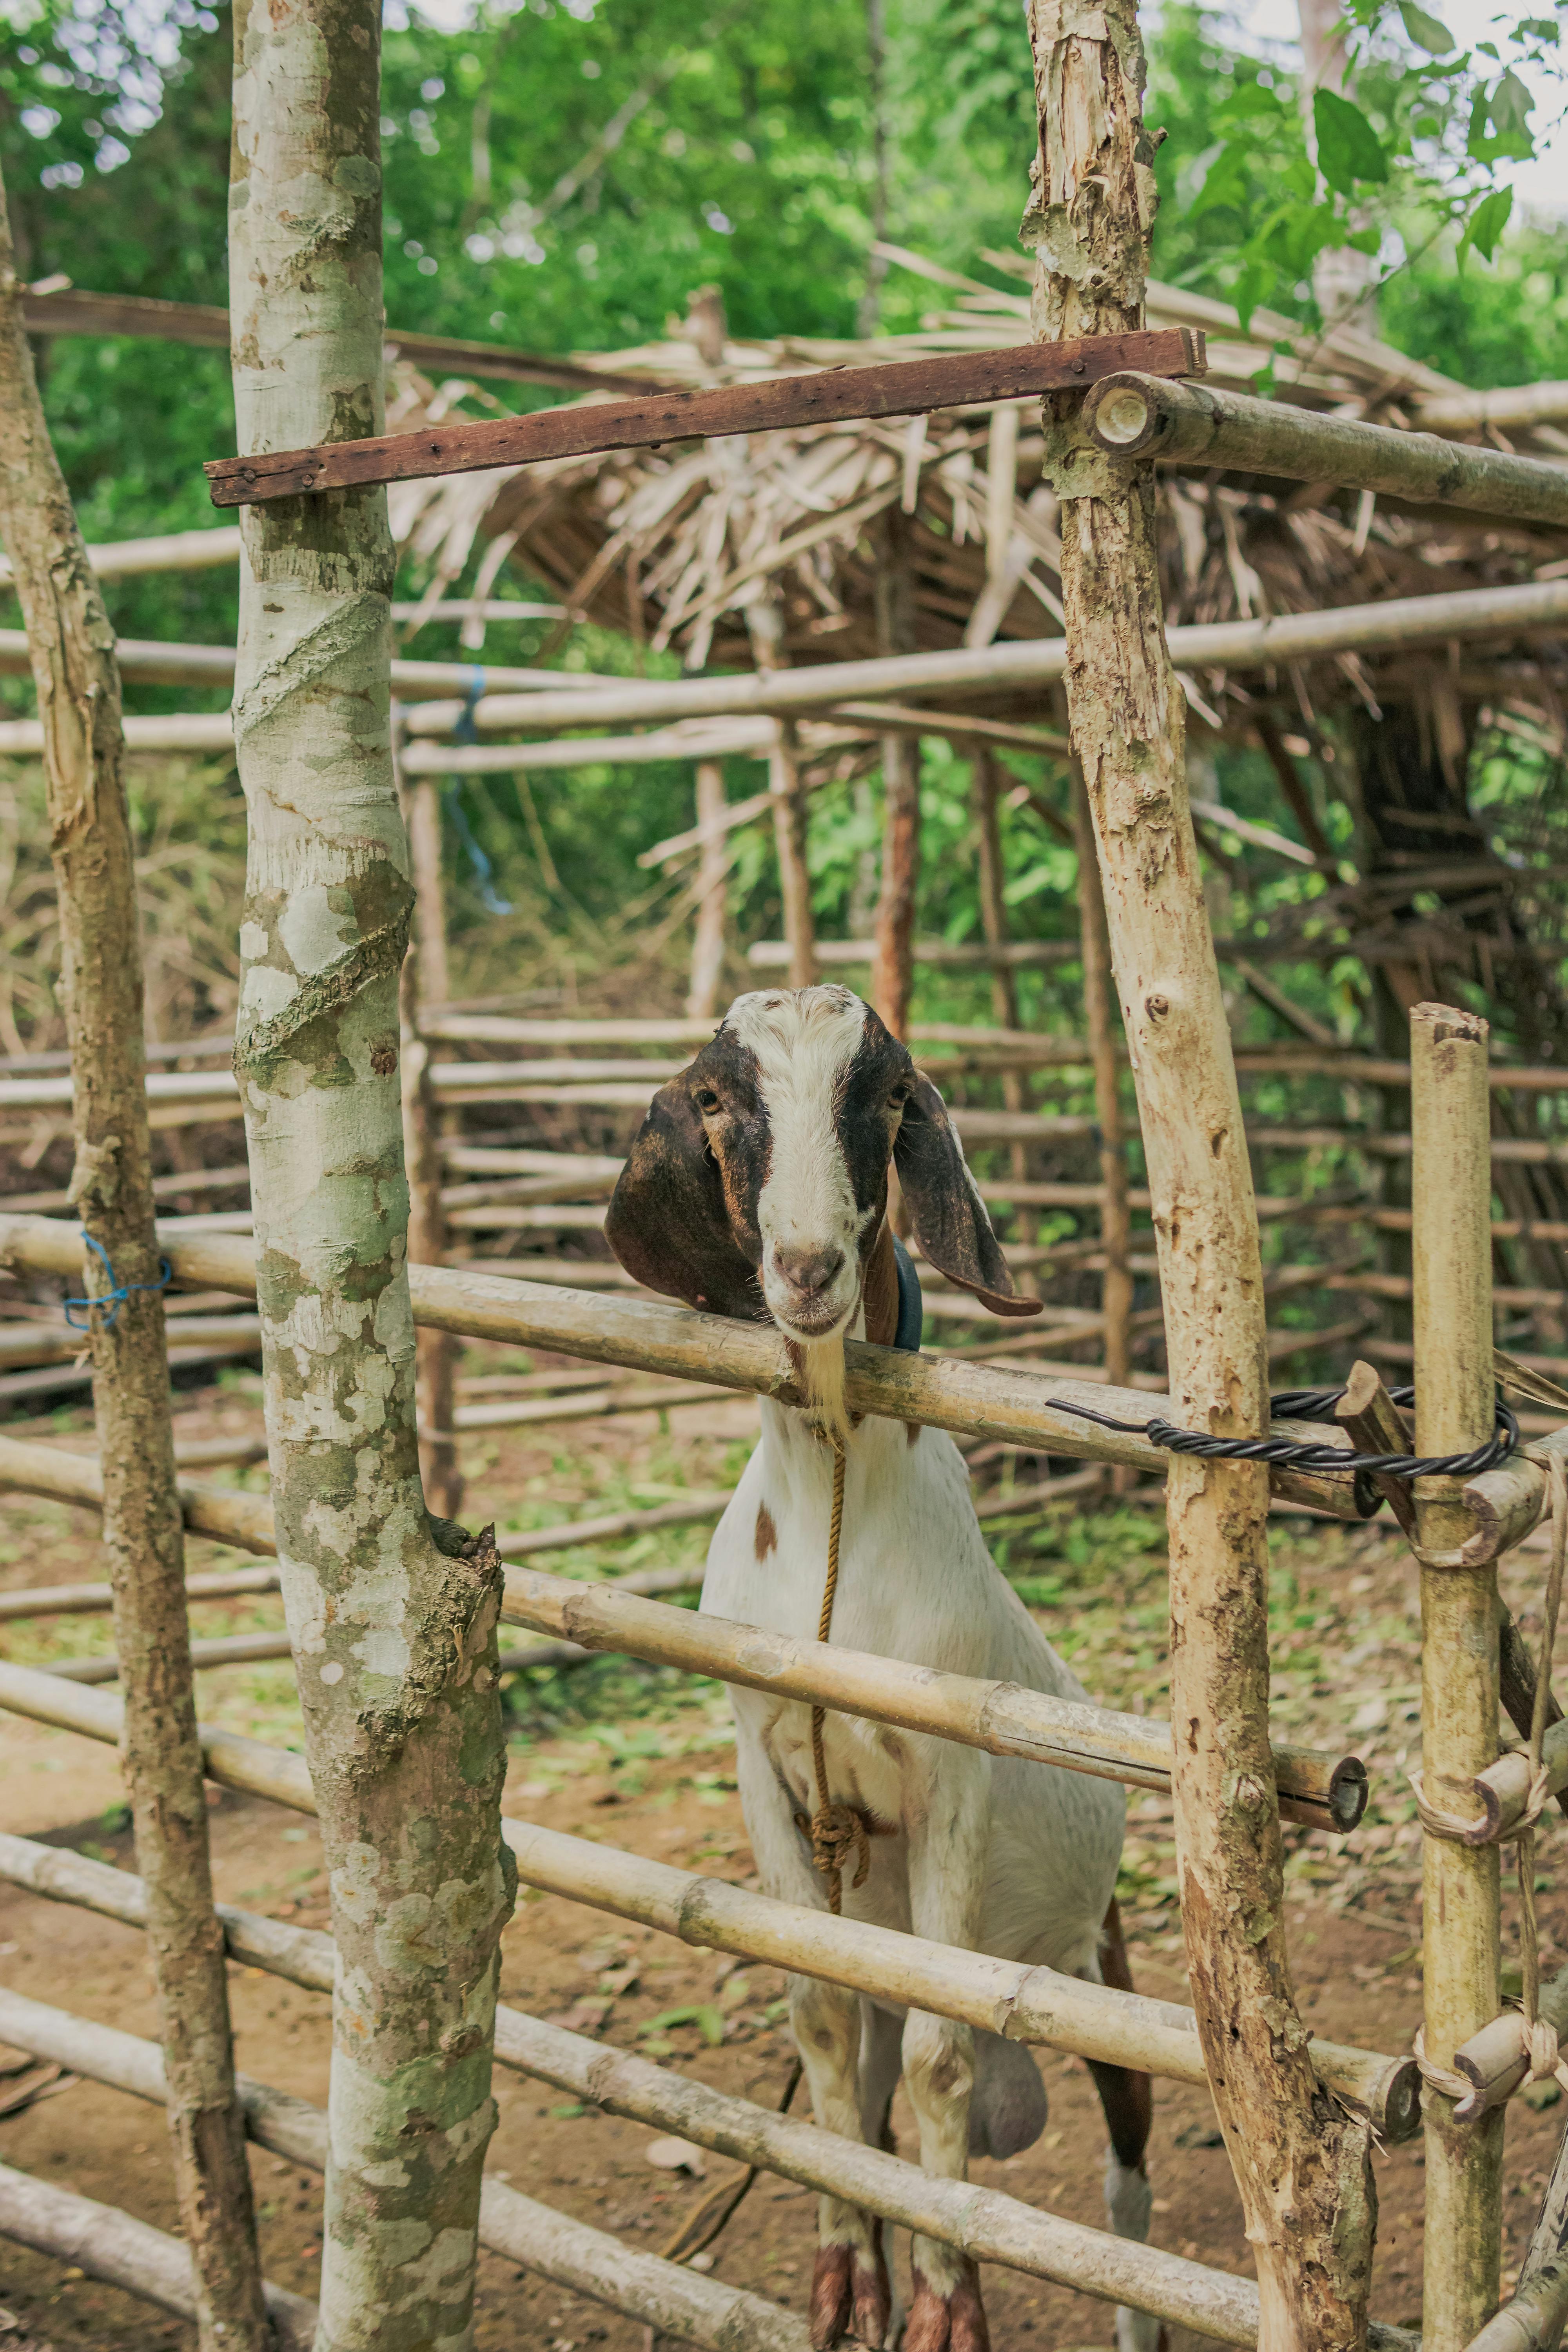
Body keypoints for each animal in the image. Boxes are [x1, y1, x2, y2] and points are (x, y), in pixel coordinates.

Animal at [607, 984, 1161, 2352]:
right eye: (716, 1098)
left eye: (887, 1094)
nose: (806, 1270)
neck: (834, 1523)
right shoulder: (764, 1760)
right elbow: (821, 2025)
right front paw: (844, 2273)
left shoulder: (950, 1778)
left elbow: (939, 2060)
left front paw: (946, 2297)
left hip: (1100, 1963)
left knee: (1126, 2173)